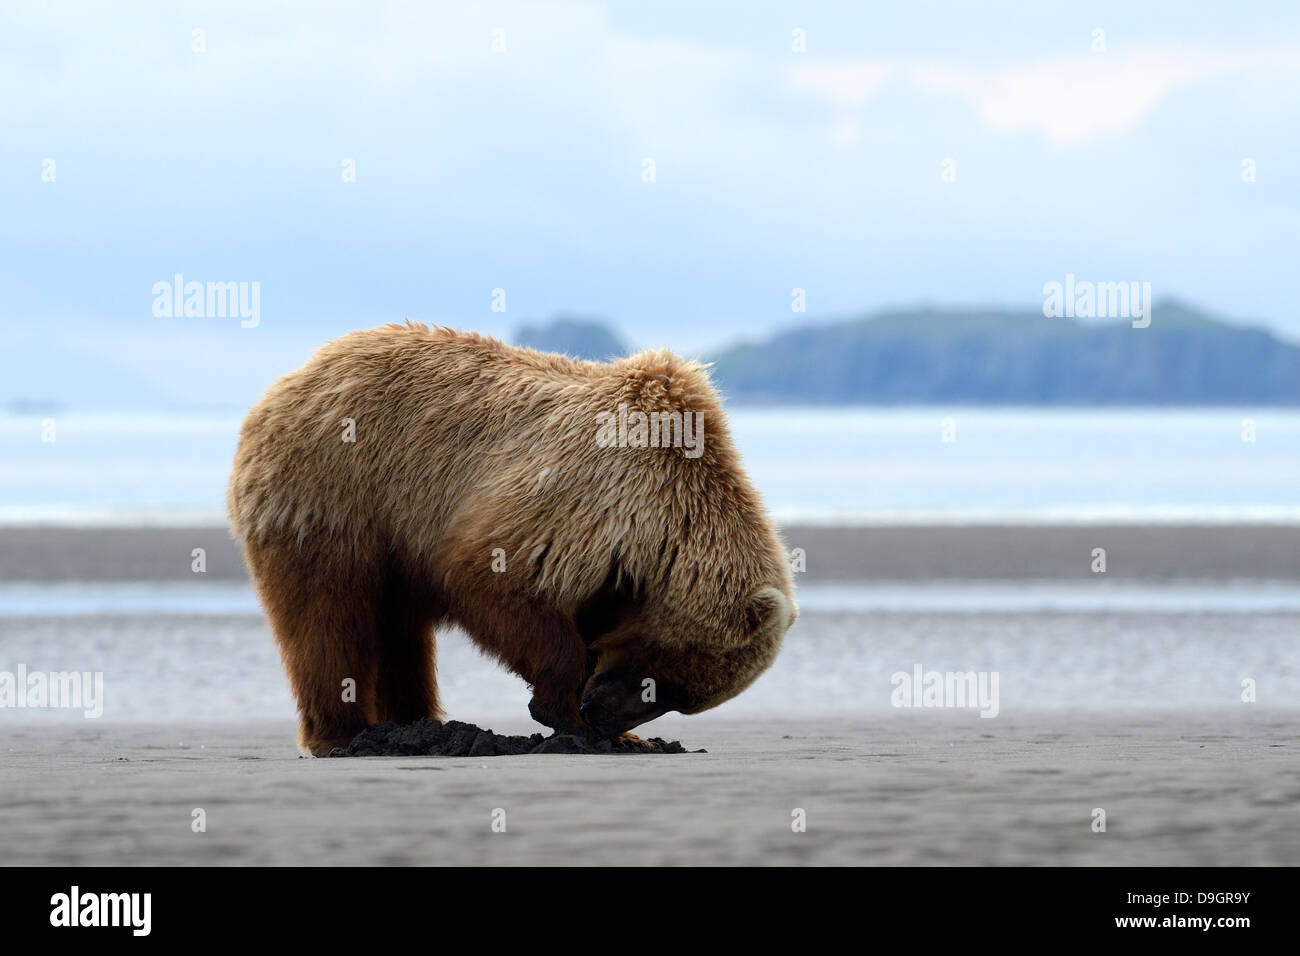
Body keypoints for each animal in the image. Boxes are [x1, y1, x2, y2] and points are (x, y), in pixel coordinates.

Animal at [228, 323, 797, 755]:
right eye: (659, 681)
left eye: (678, 697)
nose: (603, 717)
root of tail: (292, 378)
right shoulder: (580, 503)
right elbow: (488, 577)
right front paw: (563, 713)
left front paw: (619, 734)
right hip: (335, 493)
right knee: (328, 614)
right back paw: (343, 735)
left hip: (391, 538)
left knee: (399, 630)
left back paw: (416, 724)